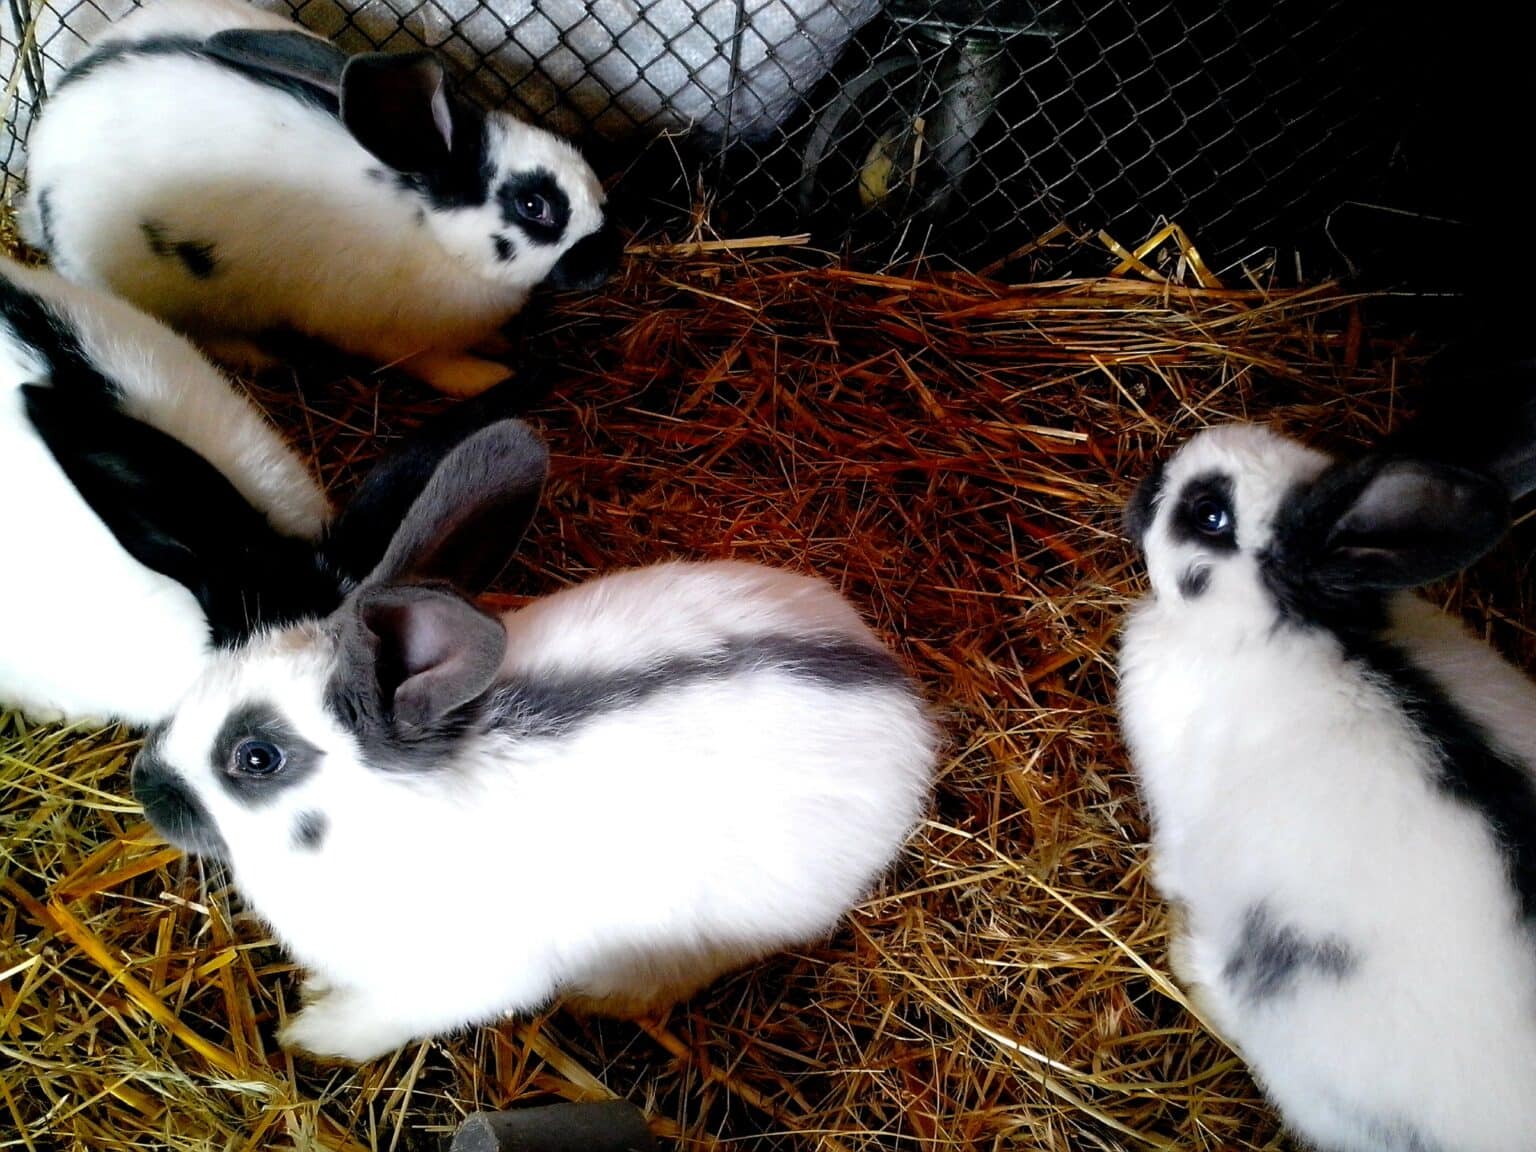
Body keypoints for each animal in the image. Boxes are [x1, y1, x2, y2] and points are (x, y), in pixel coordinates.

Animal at [19, 0, 621, 398]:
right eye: (535, 207)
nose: (609, 260)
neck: (432, 231)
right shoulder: (392, 336)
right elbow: (435, 365)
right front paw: (488, 376)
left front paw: (496, 345)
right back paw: (256, 354)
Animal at [130, 421, 941, 1063]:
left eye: (256, 758)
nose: (146, 786)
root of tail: (904, 700)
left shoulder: (460, 977)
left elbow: (383, 1016)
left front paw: (312, 1036)